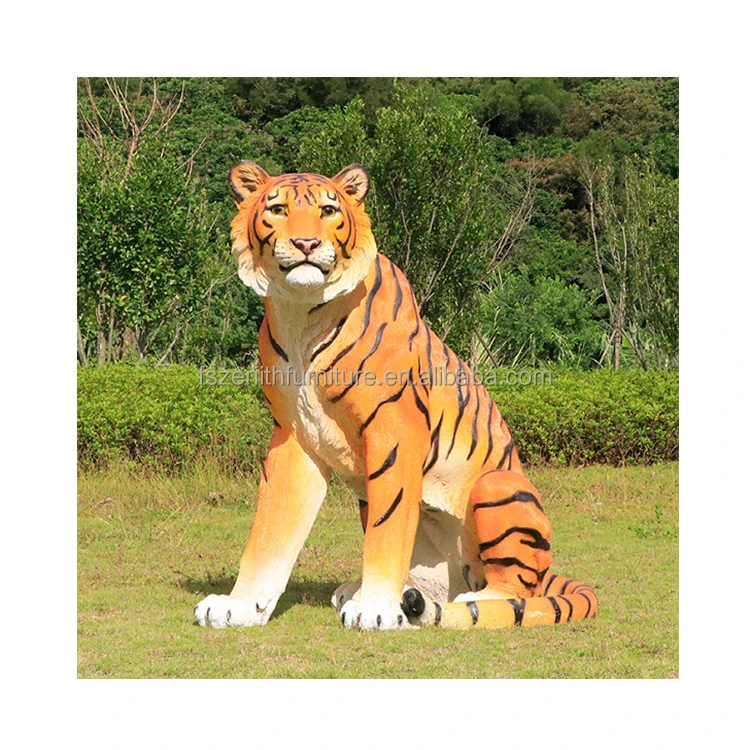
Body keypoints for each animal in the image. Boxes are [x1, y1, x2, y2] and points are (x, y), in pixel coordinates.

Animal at [193, 161, 598, 631]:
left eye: (328, 211)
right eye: (278, 210)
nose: (306, 243)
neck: (301, 310)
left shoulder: (395, 432)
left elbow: (388, 527)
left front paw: (375, 609)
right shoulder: (296, 435)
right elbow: (270, 529)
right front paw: (240, 605)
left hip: (498, 486)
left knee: (513, 591)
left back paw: (460, 600)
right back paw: (366, 591)